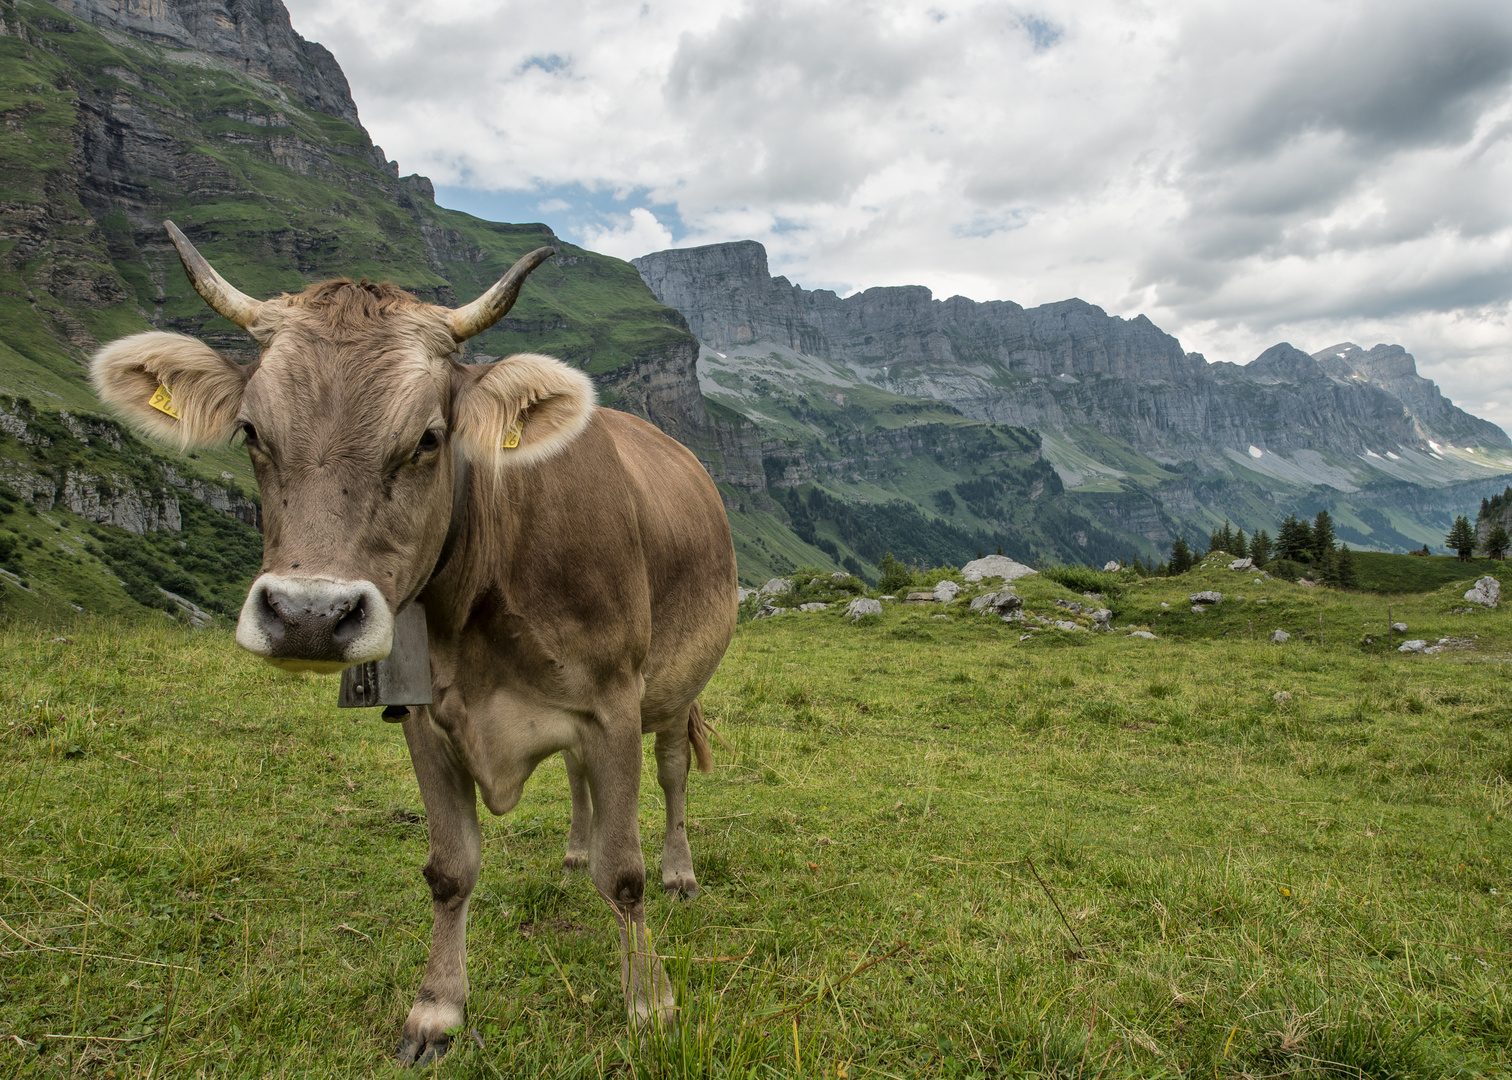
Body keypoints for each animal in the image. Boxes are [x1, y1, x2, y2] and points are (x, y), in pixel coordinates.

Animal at [88, 222, 737, 1064]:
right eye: (251, 432)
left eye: (428, 439)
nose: (308, 614)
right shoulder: (428, 718)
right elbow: (451, 870)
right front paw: (436, 1010)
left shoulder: (612, 705)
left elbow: (621, 872)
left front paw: (650, 1003)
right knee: (576, 780)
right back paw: (571, 851)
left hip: (676, 688)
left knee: (672, 776)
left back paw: (679, 870)